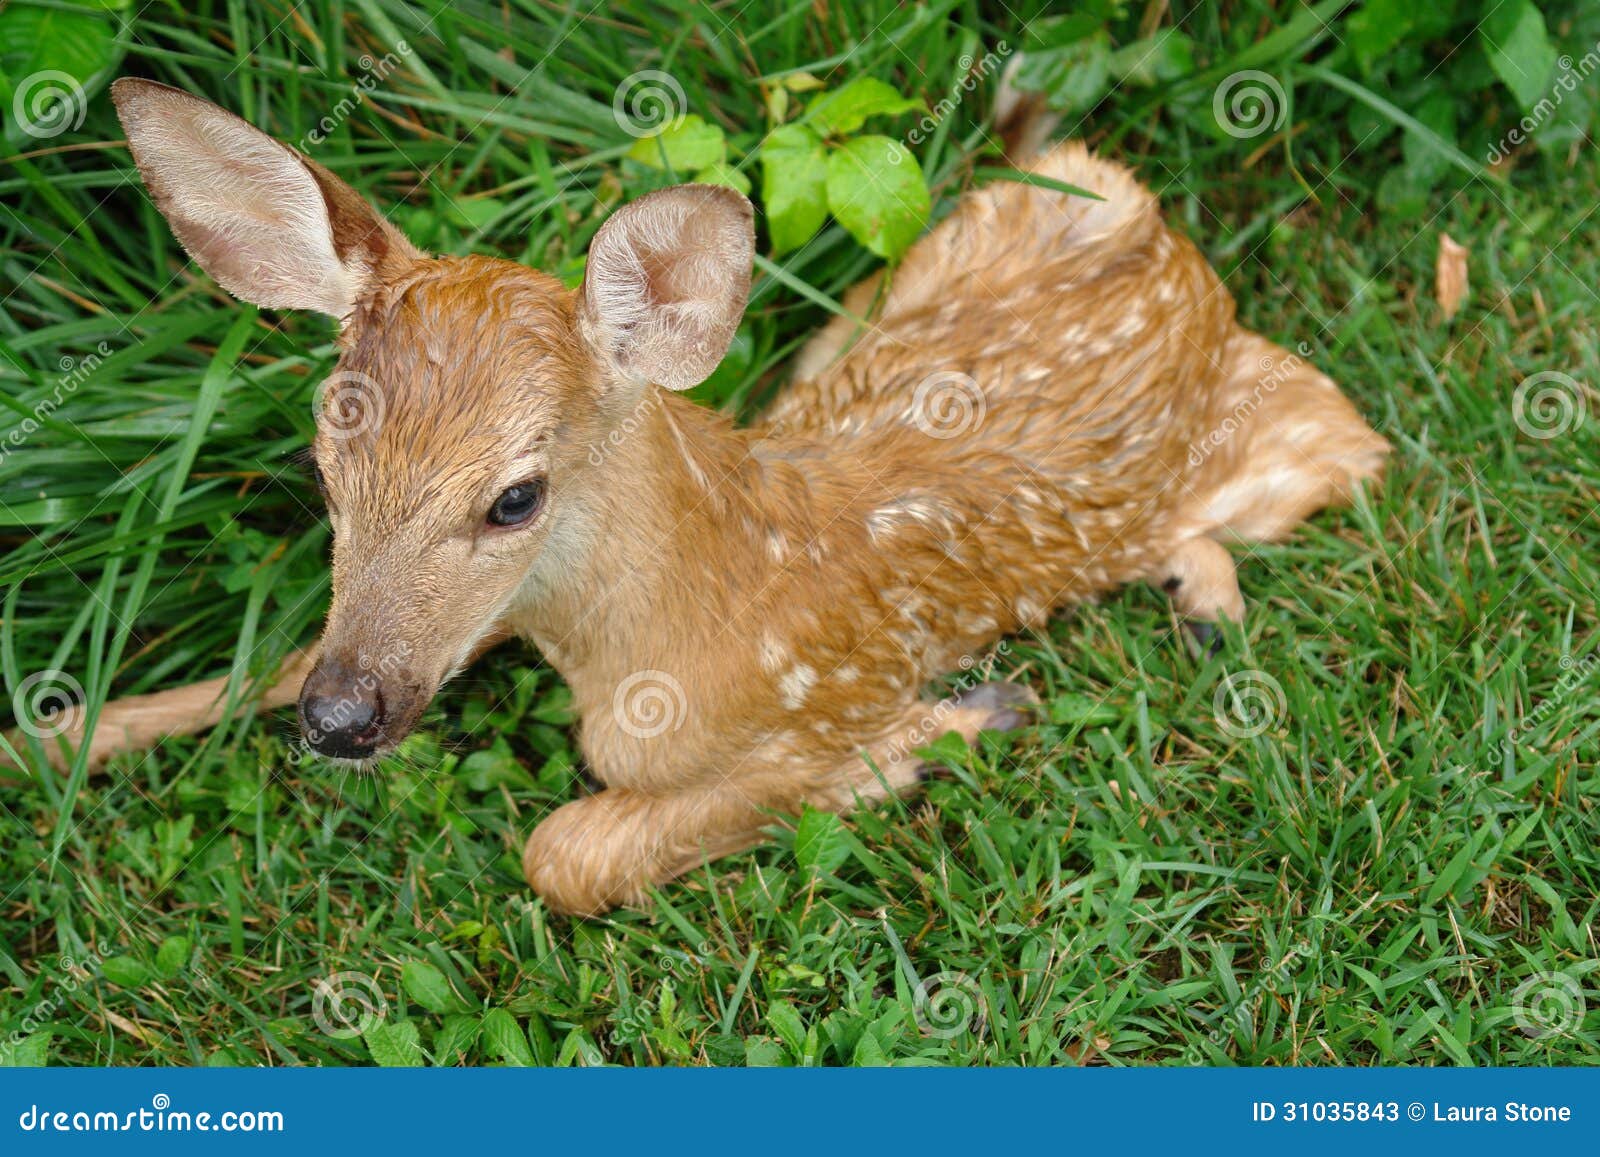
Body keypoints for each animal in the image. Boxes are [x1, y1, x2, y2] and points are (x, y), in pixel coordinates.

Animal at [10, 77, 1388, 916]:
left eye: (516, 497)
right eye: (320, 462)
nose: (346, 724)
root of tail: (1179, 255)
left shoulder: (793, 715)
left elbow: (562, 850)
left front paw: (942, 731)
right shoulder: (457, 628)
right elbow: (276, 658)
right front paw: (51, 738)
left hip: (1298, 444)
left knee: (1348, 445)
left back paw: (1203, 597)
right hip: (892, 288)